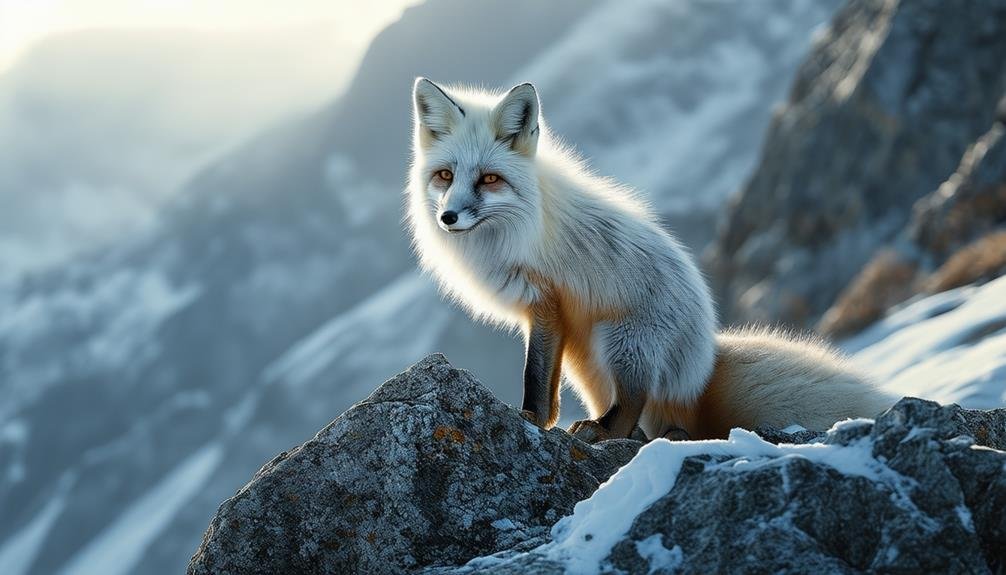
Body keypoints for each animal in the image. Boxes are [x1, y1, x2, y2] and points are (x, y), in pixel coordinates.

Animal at [406, 78, 893, 442]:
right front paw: (540, 422)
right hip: (587, 362)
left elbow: (535, 376)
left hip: (620, 341)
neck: (512, 232)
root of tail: (707, 354)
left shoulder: (545, 300)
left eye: (489, 179)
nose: (449, 217)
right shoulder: (548, 313)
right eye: (445, 175)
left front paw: (530, 421)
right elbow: (544, 384)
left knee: (634, 403)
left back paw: (603, 432)